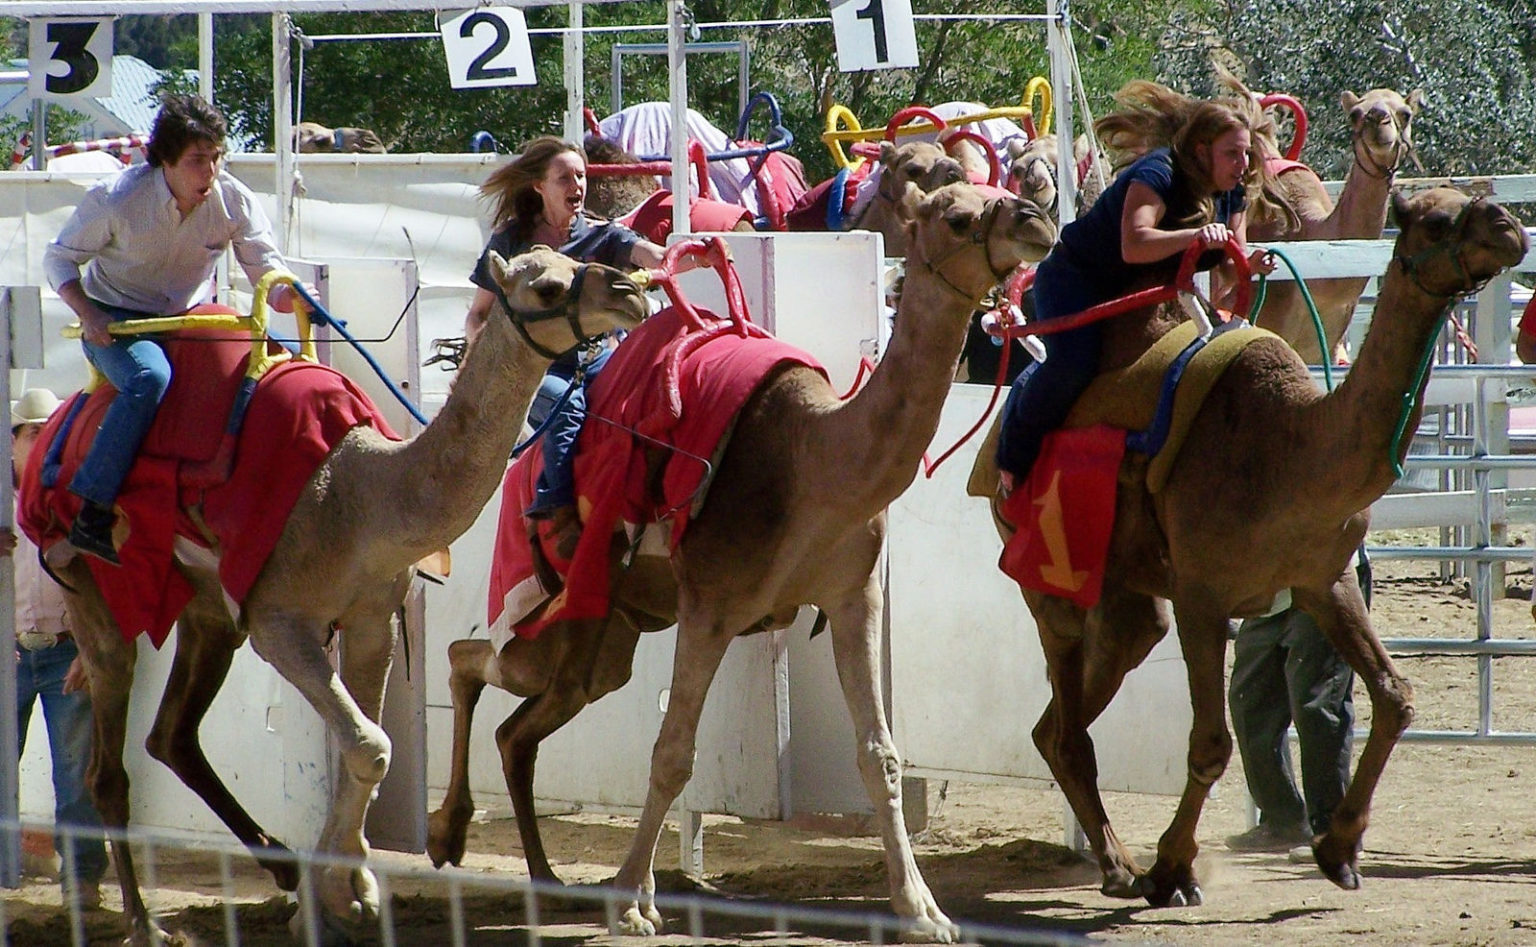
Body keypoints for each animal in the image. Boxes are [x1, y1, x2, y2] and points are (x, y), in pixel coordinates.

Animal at [44, 247, 648, 943]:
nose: (632, 291)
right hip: (90, 592)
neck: (363, 495)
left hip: (207, 614)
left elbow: (366, 746)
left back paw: (279, 869)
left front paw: (340, 893)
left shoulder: (371, 617)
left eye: (579, 259)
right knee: (107, 766)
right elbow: (370, 746)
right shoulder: (281, 622)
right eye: (547, 284)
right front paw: (341, 894)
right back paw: (146, 923)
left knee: (172, 734)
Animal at [427, 183, 1058, 940]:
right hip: (547, 601)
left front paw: (922, 910)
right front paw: (633, 903)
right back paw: (450, 834)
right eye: (958, 215)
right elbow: (672, 752)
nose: (1038, 217)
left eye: (1001, 191)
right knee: (469, 660)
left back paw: (547, 877)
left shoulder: (854, 595)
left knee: (520, 728)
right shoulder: (711, 605)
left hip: (603, 637)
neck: (817, 458)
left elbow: (879, 753)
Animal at [970, 187, 1527, 906]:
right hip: (1047, 573)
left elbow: (1395, 695)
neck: (1291, 447)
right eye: (1434, 219)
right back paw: (1122, 866)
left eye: (1475, 201)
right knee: (1066, 714)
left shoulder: (1324, 578)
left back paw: (1113, 861)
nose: (1509, 226)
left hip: (1127, 599)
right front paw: (1172, 870)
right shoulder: (1202, 594)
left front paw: (1338, 851)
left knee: (1068, 709)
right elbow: (1210, 741)